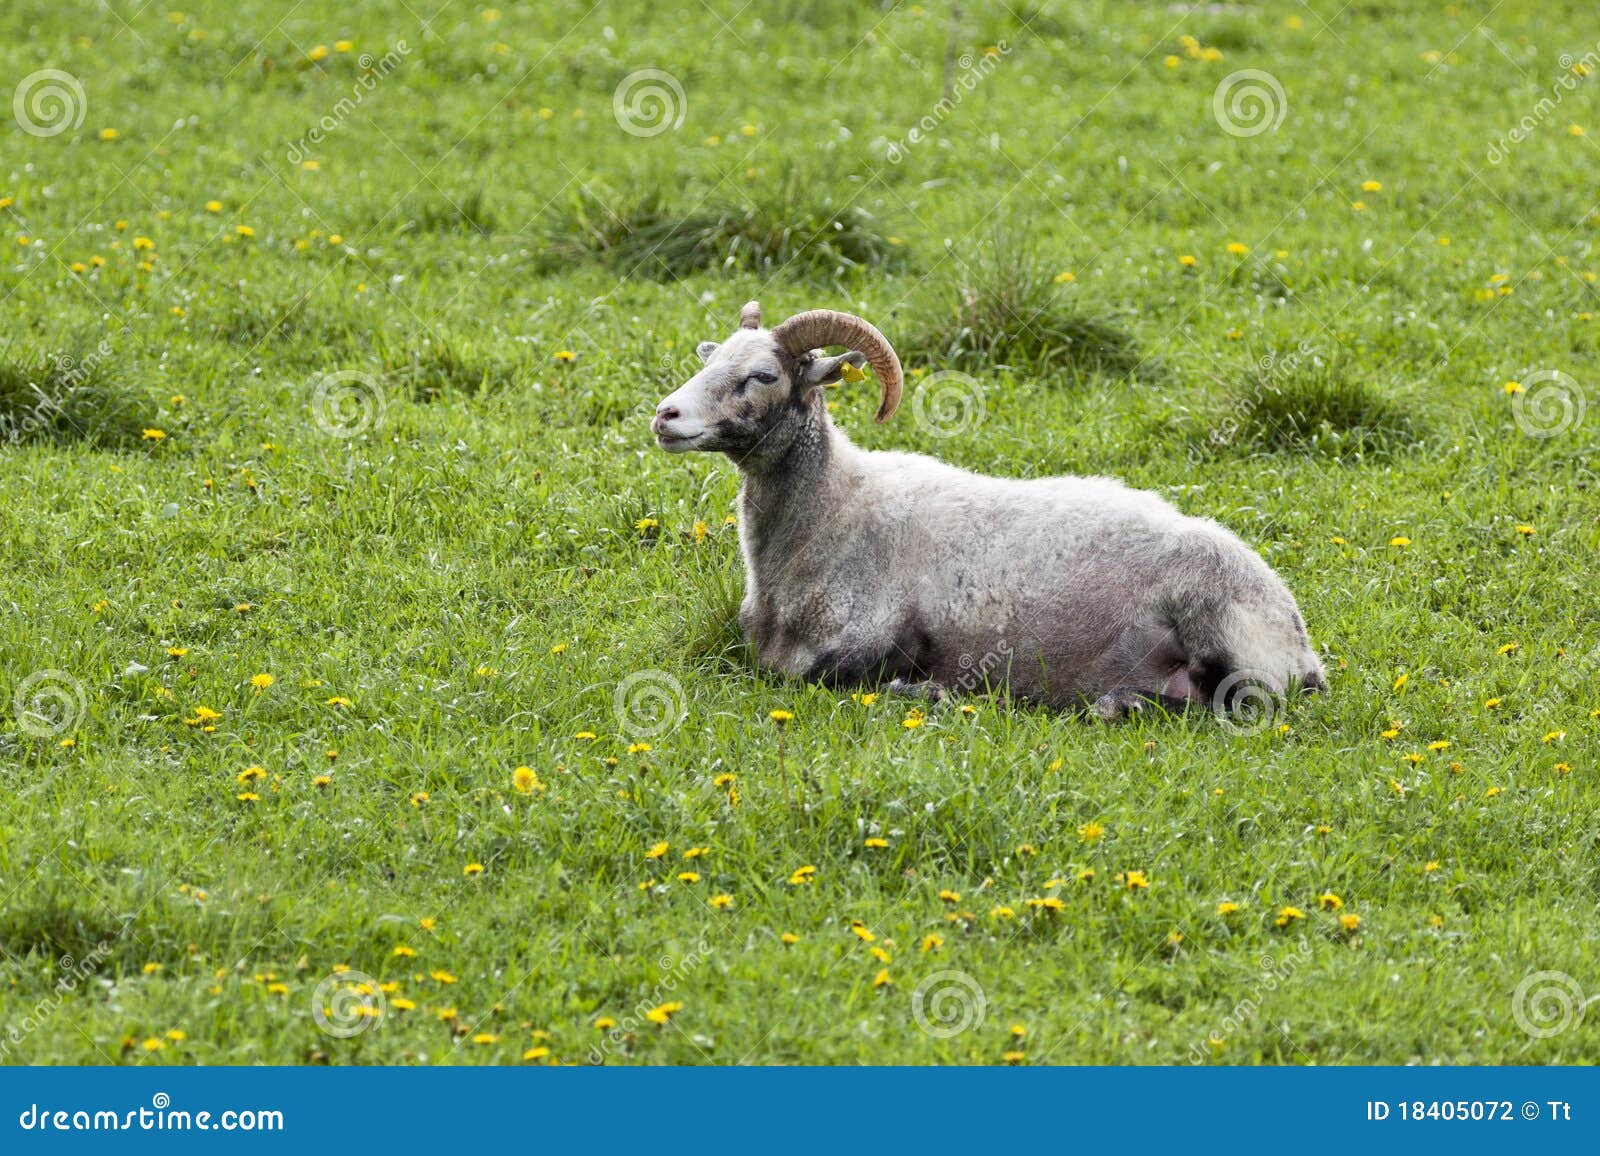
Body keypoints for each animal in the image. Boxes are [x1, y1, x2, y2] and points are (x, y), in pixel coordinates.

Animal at [651, 301, 1326, 719]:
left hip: (1224, 633)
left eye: (763, 375)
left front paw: (929, 693)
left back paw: (1119, 702)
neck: (834, 510)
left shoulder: (879, 643)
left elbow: (857, 678)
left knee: (1225, 702)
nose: (665, 415)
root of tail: (1303, 647)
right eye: (709, 359)